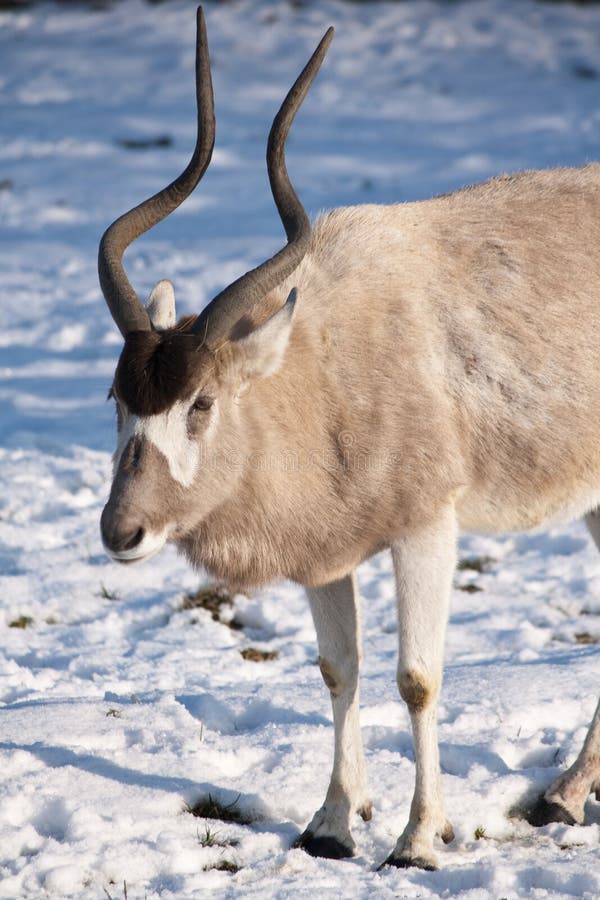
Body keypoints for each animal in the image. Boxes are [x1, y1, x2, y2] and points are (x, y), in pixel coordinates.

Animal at [99, 7, 600, 869]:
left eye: (201, 402)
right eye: (117, 401)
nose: (121, 530)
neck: (324, 366)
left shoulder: (428, 526)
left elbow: (416, 677)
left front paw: (417, 838)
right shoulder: (323, 552)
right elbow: (339, 668)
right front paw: (334, 822)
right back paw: (565, 795)